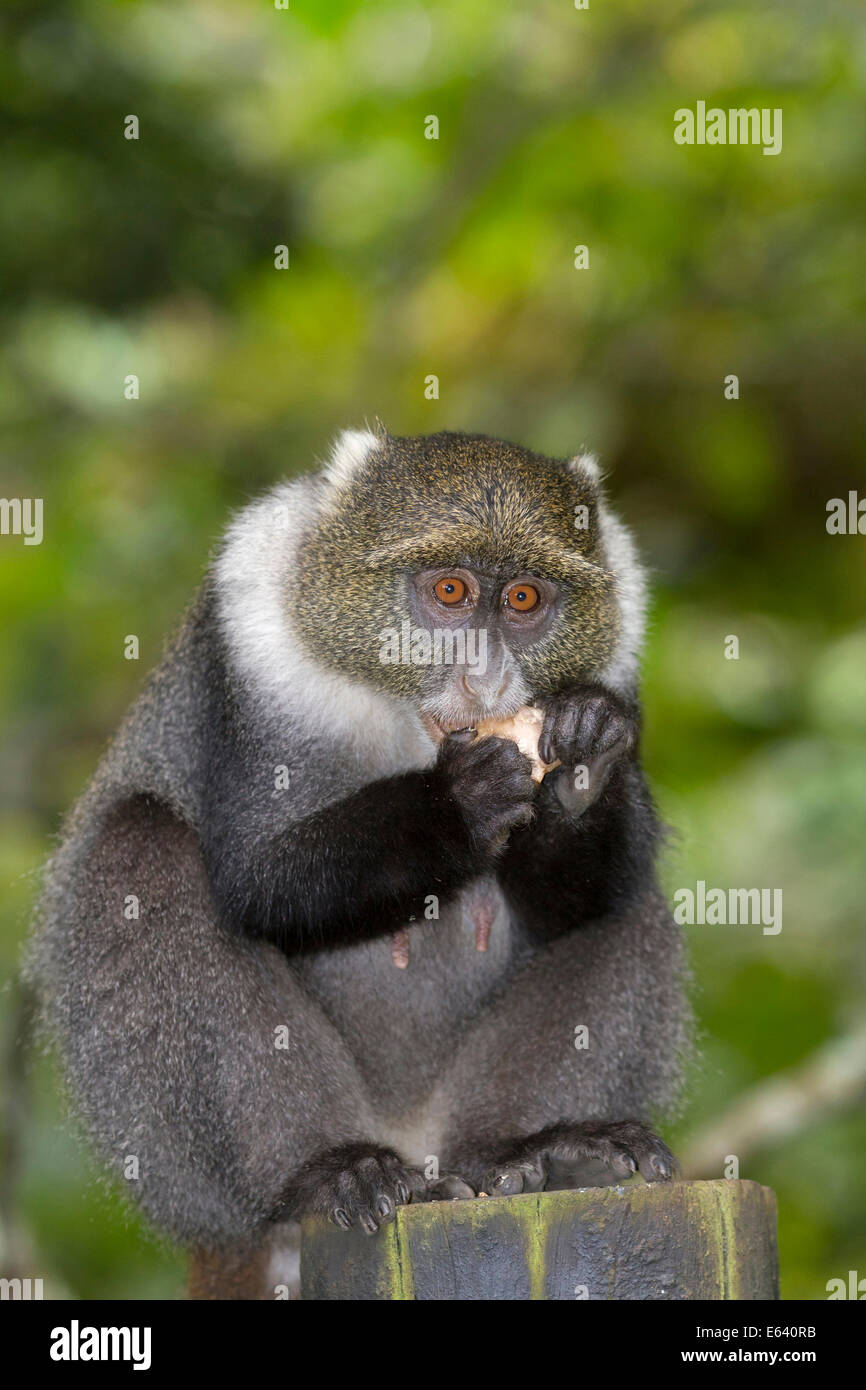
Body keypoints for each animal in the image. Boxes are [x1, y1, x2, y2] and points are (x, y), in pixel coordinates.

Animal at [28, 428, 690, 1299]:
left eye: (524, 601)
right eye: (449, 591)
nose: (486, 679)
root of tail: (414, 1147)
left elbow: (577, 900)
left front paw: (582, 761)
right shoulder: (256, 655)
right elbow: (257, 879)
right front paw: (457, 806)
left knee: (625, 897)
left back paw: (534, 1152)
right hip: (189, 1174)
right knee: (141, 849)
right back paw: (329, 1171)